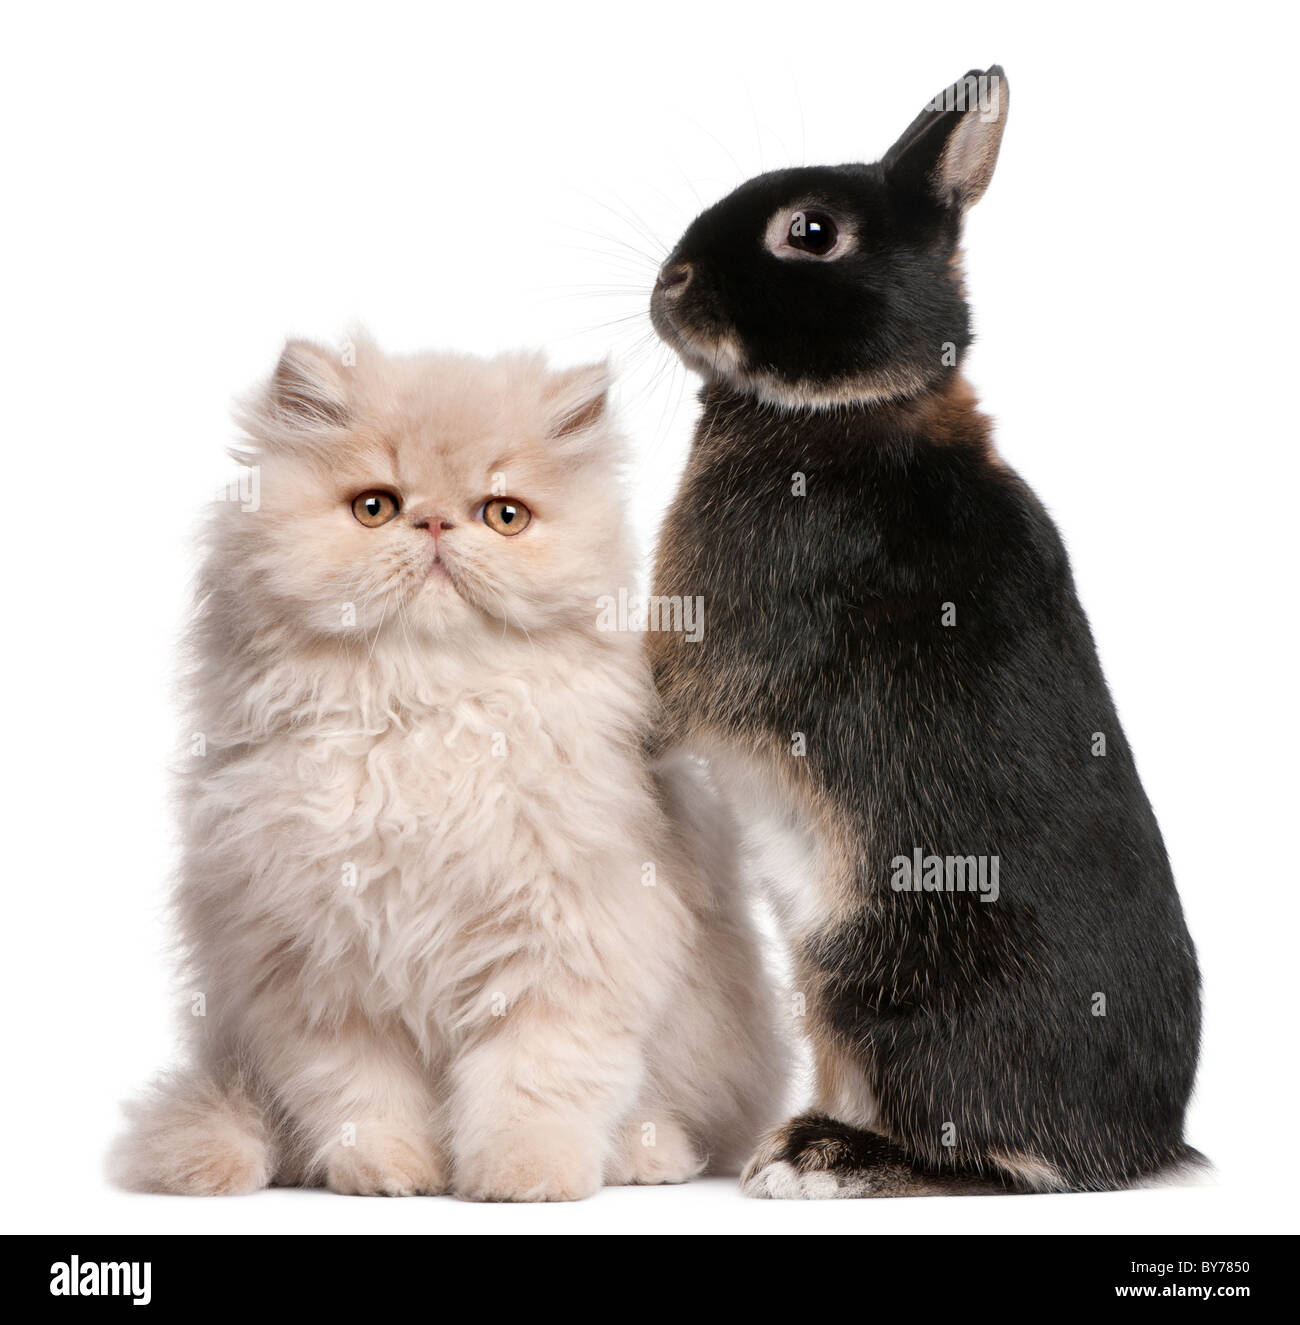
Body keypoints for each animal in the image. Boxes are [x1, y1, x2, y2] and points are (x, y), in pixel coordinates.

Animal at [646, 66, 1204, 1196]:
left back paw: (821, 1153)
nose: (669, 285)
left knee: (986, 1154)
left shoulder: (716, 628)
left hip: (884, 978)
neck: (851, 408)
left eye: (810, 232)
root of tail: (1144, 1142)